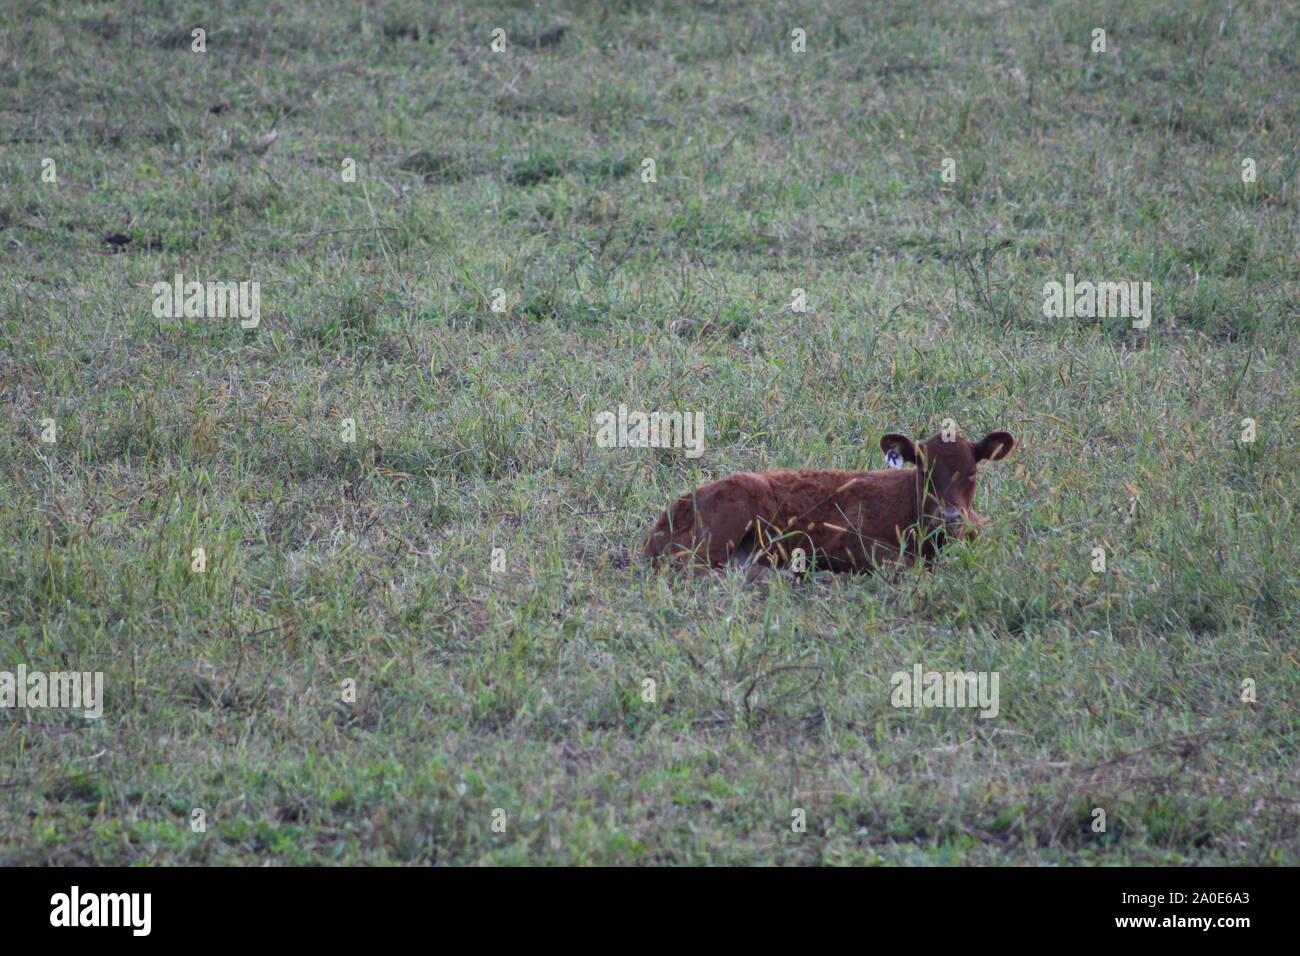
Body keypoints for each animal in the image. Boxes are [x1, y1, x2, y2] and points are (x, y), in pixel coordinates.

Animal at [644, 430, 1015, 575]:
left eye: (972, 472)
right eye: (924, 471)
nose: (949, 515)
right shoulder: (846, 541)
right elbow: (905, 565)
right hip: (731, 513)